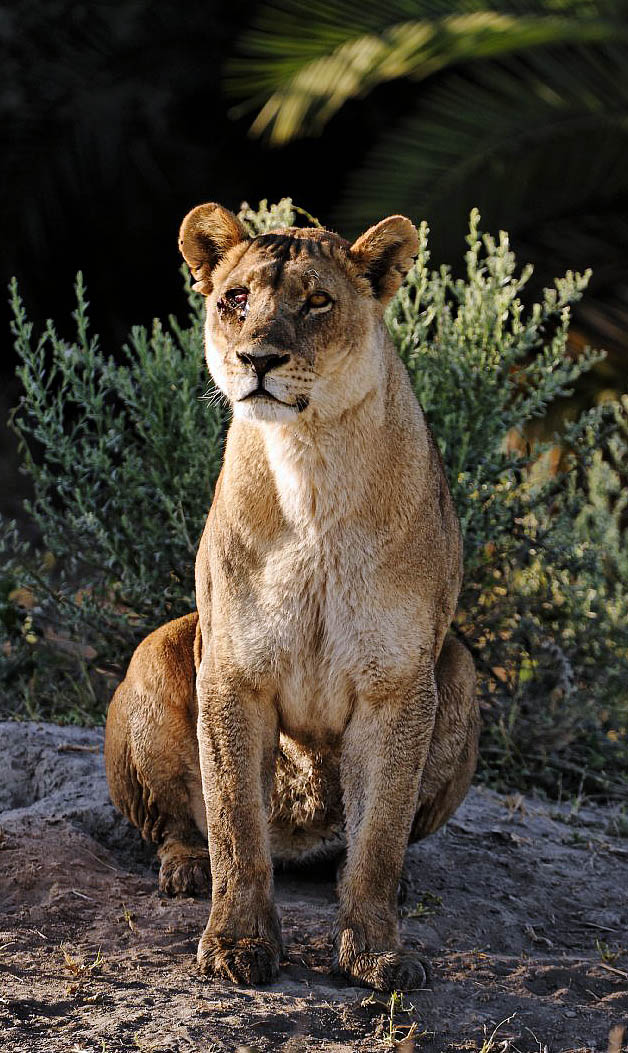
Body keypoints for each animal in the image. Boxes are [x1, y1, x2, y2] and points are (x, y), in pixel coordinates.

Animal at [104, 203, 479, 992]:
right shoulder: (232, 670)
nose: (258, 359)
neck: (310, 461)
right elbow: (237, 826)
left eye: (316, 303)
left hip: (458, 672)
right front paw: (237, 943)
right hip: (158, 650)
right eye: (236, 299)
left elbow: (379, 838)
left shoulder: (399, 684)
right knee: (183, 825)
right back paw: (186, 868)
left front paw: (377, 952)